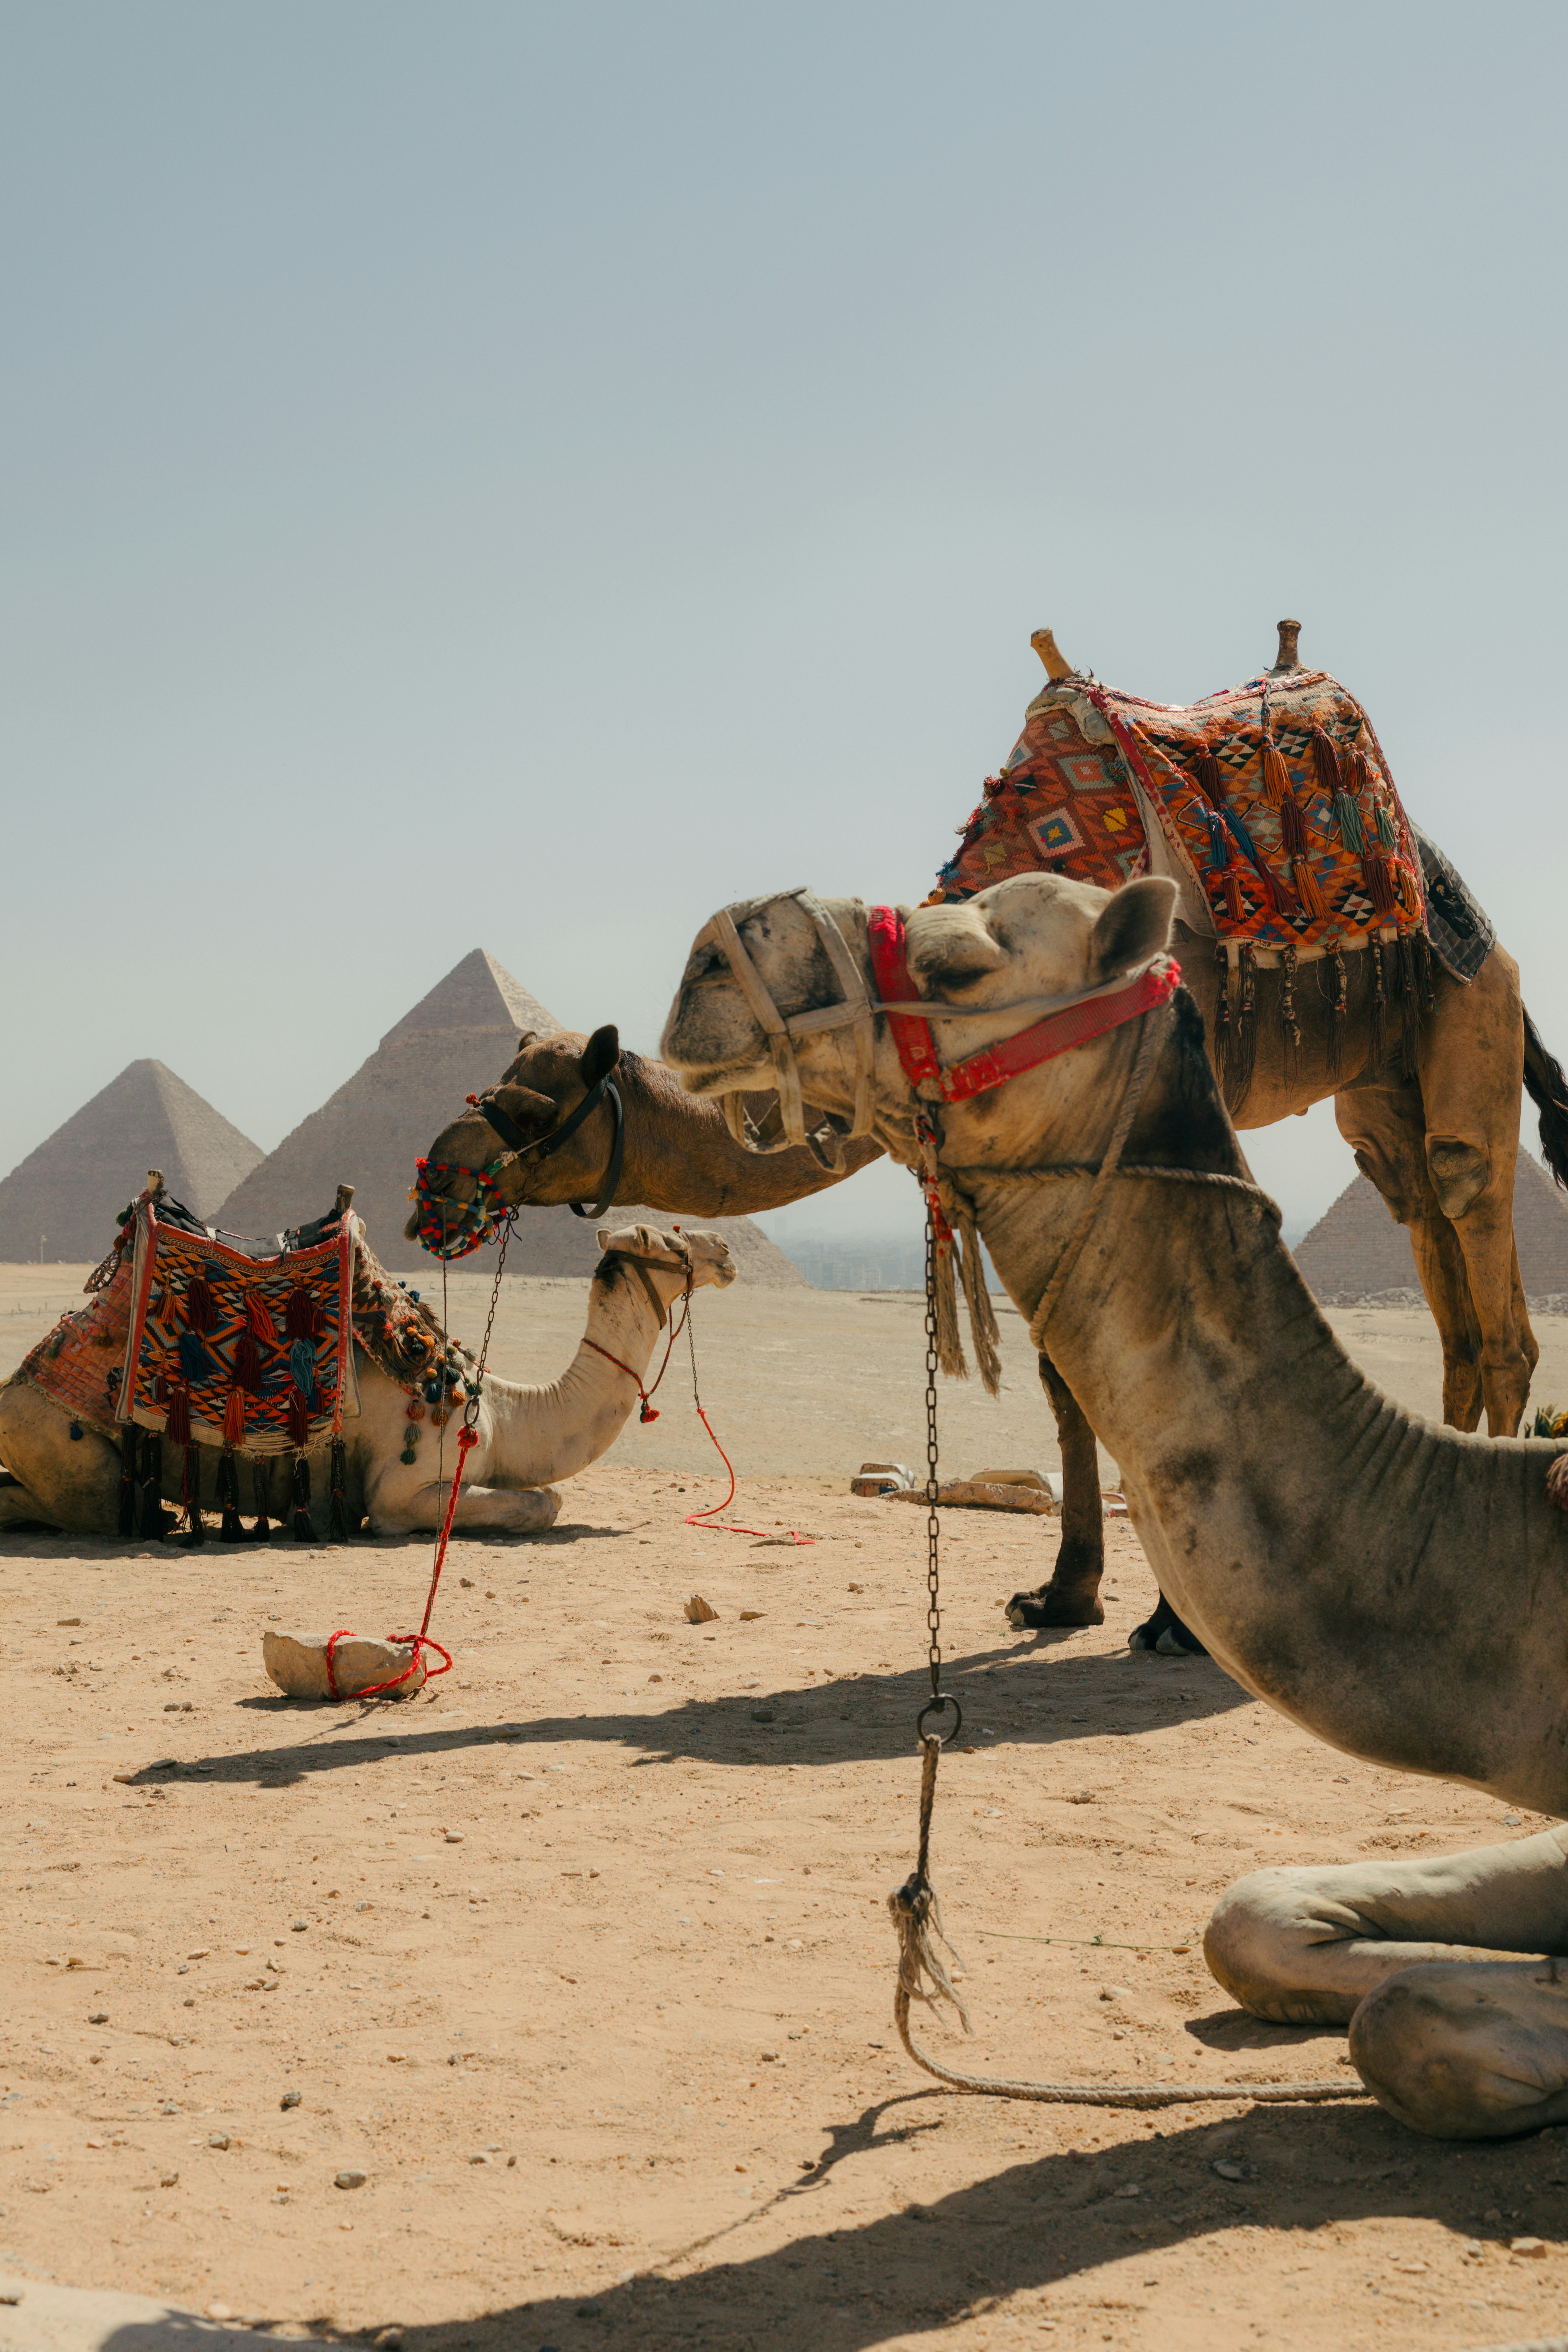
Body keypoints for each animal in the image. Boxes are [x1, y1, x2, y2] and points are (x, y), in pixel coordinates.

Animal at [0, 1223, 734, 1540]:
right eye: (674, 1242)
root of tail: (20, 1378)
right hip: (70, 1453)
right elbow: (541, 1501)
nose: (726, 1251)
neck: (498, 1410)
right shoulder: (402, 1488)